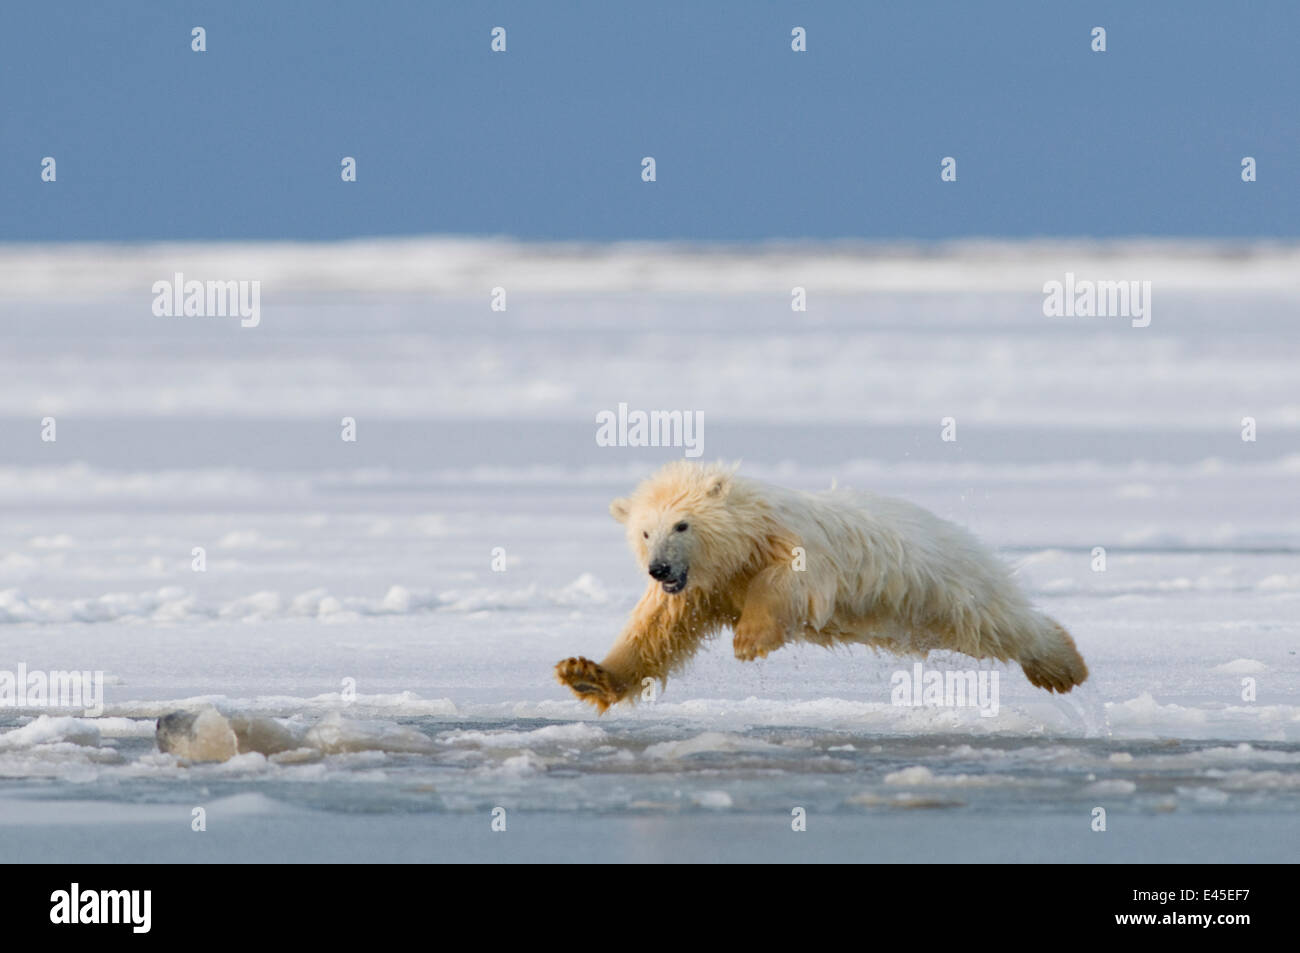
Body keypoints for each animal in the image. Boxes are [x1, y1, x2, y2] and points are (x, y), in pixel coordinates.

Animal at [556, 460, 1087, 712]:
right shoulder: (702, 588)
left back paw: (1063, 666)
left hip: (945, 580)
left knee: (996, 620)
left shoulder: (790, 542)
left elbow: (793, 582)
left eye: (681, 525)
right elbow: (655, 634)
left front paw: (749, 639)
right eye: (645, 531)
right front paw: (583, 672)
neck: (743, 543)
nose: (659, 569)